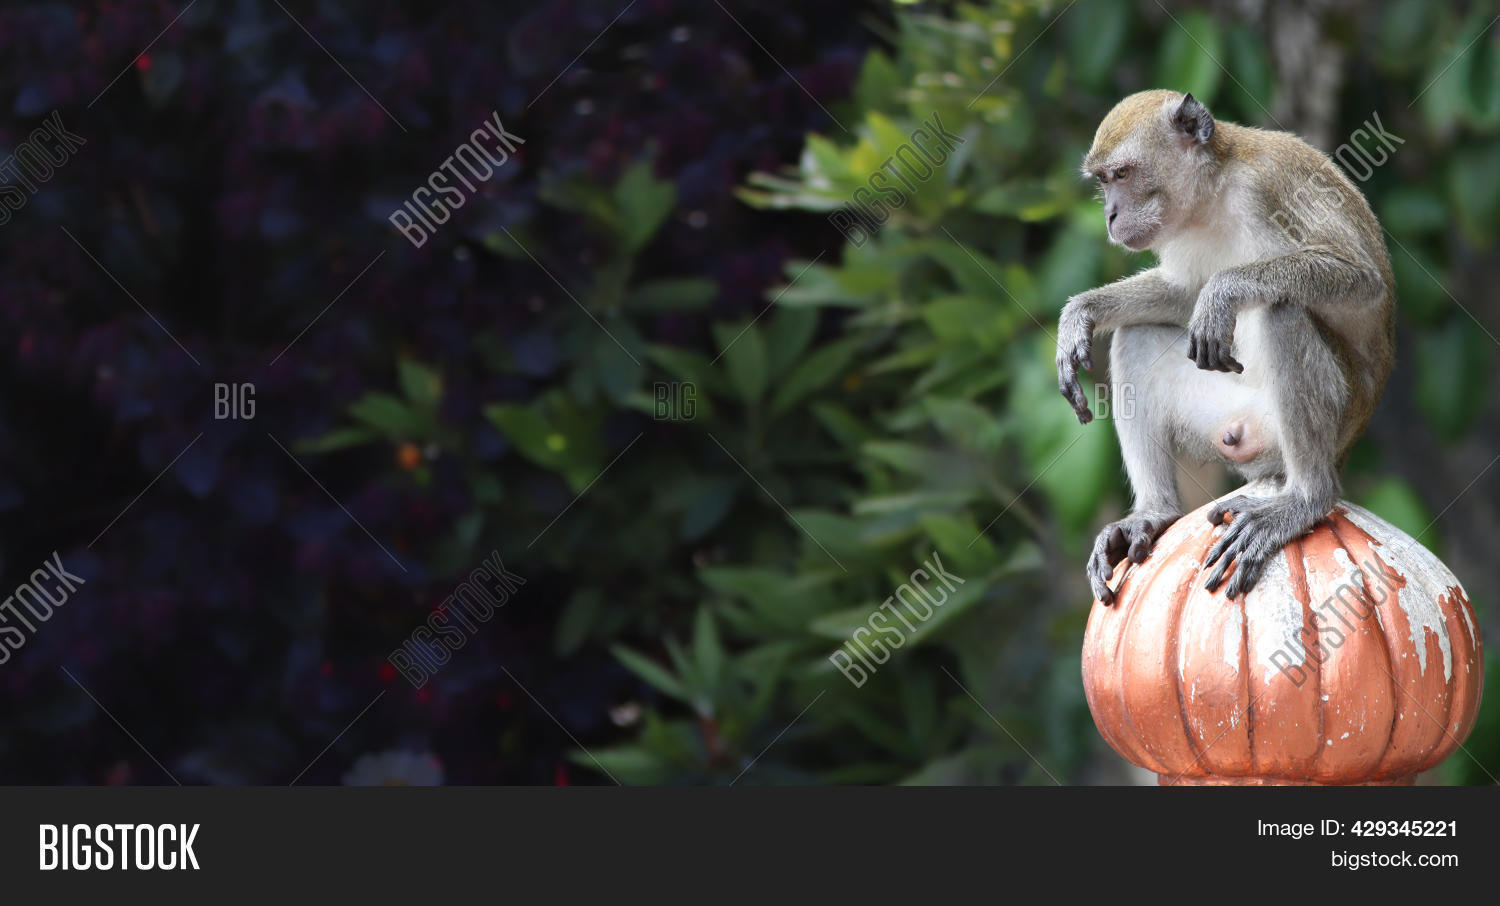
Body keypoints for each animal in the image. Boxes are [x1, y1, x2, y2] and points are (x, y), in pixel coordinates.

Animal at [1056, 90, 1395, 603]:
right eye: (1103, 180)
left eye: (1123, 174)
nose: (1110, 215)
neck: (1212, 193)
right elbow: (1182, 294)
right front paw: (1081, 312)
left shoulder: (1268, 184)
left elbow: (1363, 281)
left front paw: (1225, 290)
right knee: (1136, 334)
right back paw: (1153, 513)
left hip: (1320, 418)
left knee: (1282, 309)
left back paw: (1307, 498)